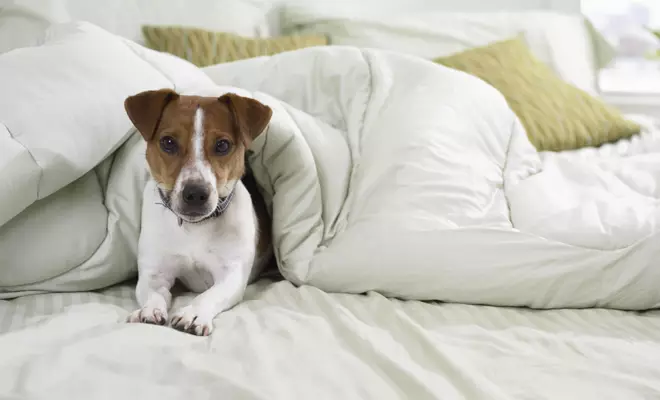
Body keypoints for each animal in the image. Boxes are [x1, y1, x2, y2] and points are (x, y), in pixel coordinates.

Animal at [124, 89, 274, 336]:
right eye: (168, 142)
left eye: (222, 145)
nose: (195, 193)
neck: (194, 228)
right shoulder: (154, 273)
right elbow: (154, 293)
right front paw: (148, 310)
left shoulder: (231, 275)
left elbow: (208, 295)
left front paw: (192, 314)